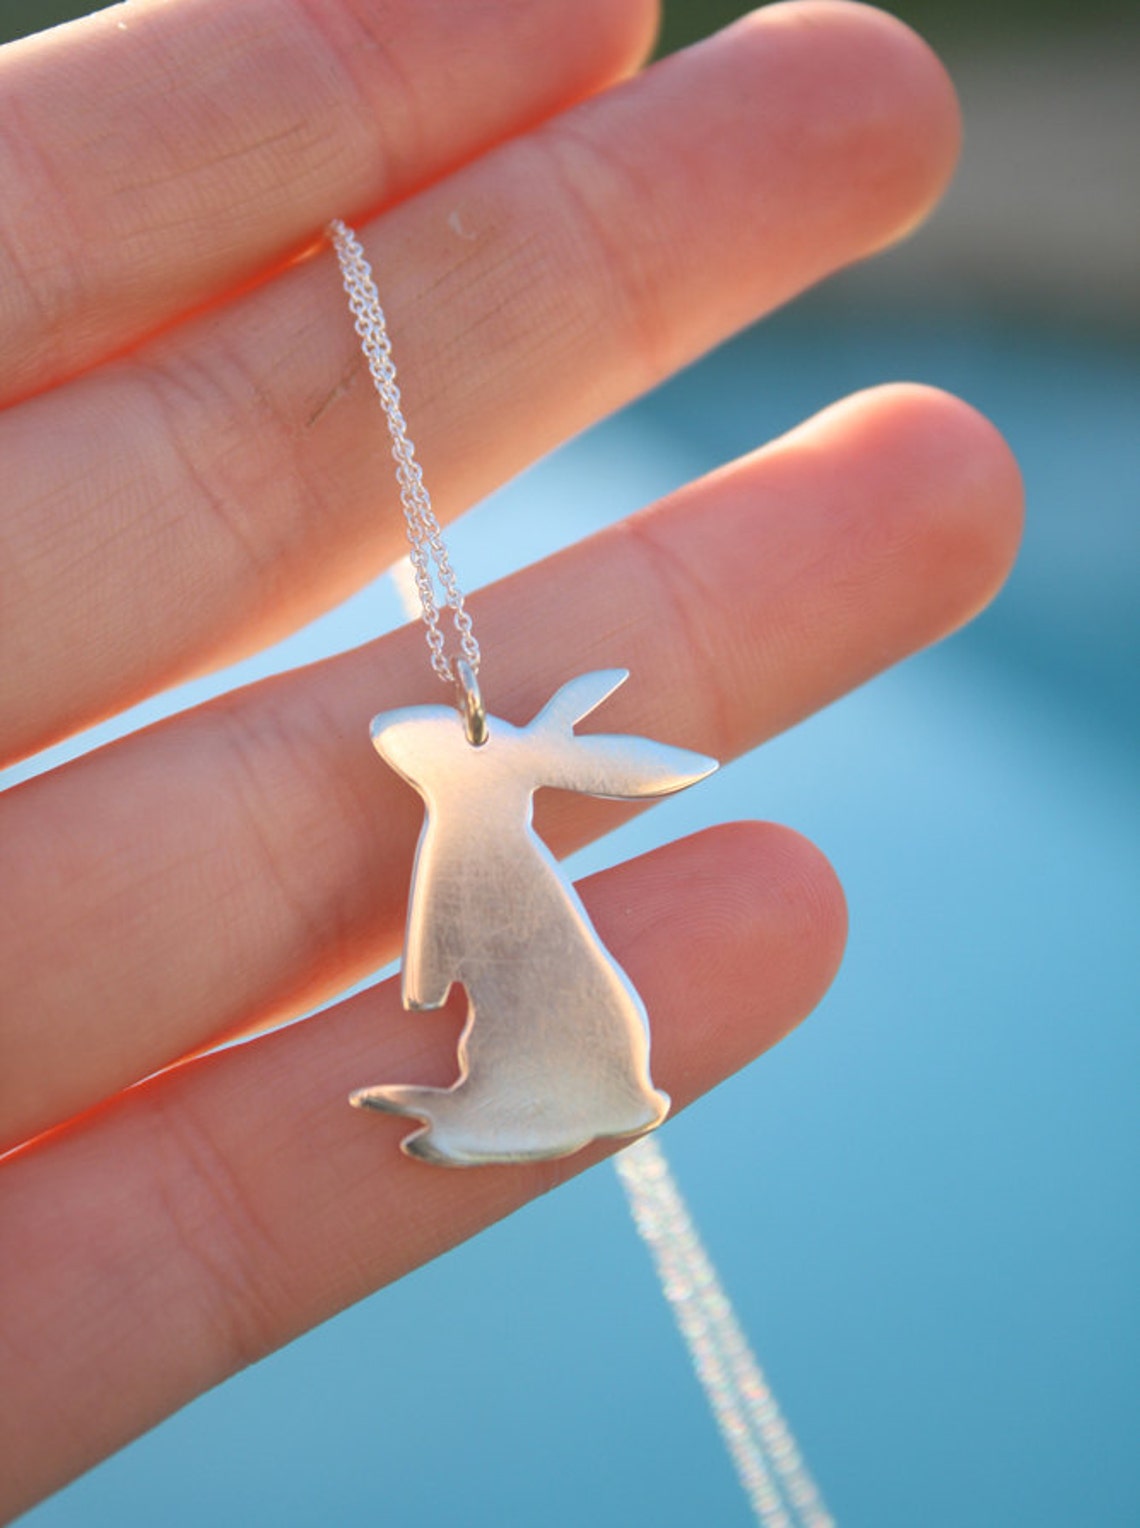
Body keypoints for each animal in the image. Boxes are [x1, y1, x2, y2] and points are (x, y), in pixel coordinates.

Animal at [351, 669, 717, 1166]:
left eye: (446, 731)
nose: (384, 722)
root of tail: (646, 1103)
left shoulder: (440, 890)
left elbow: (429, 968)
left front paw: (420, 1000)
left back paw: (434, 1132)